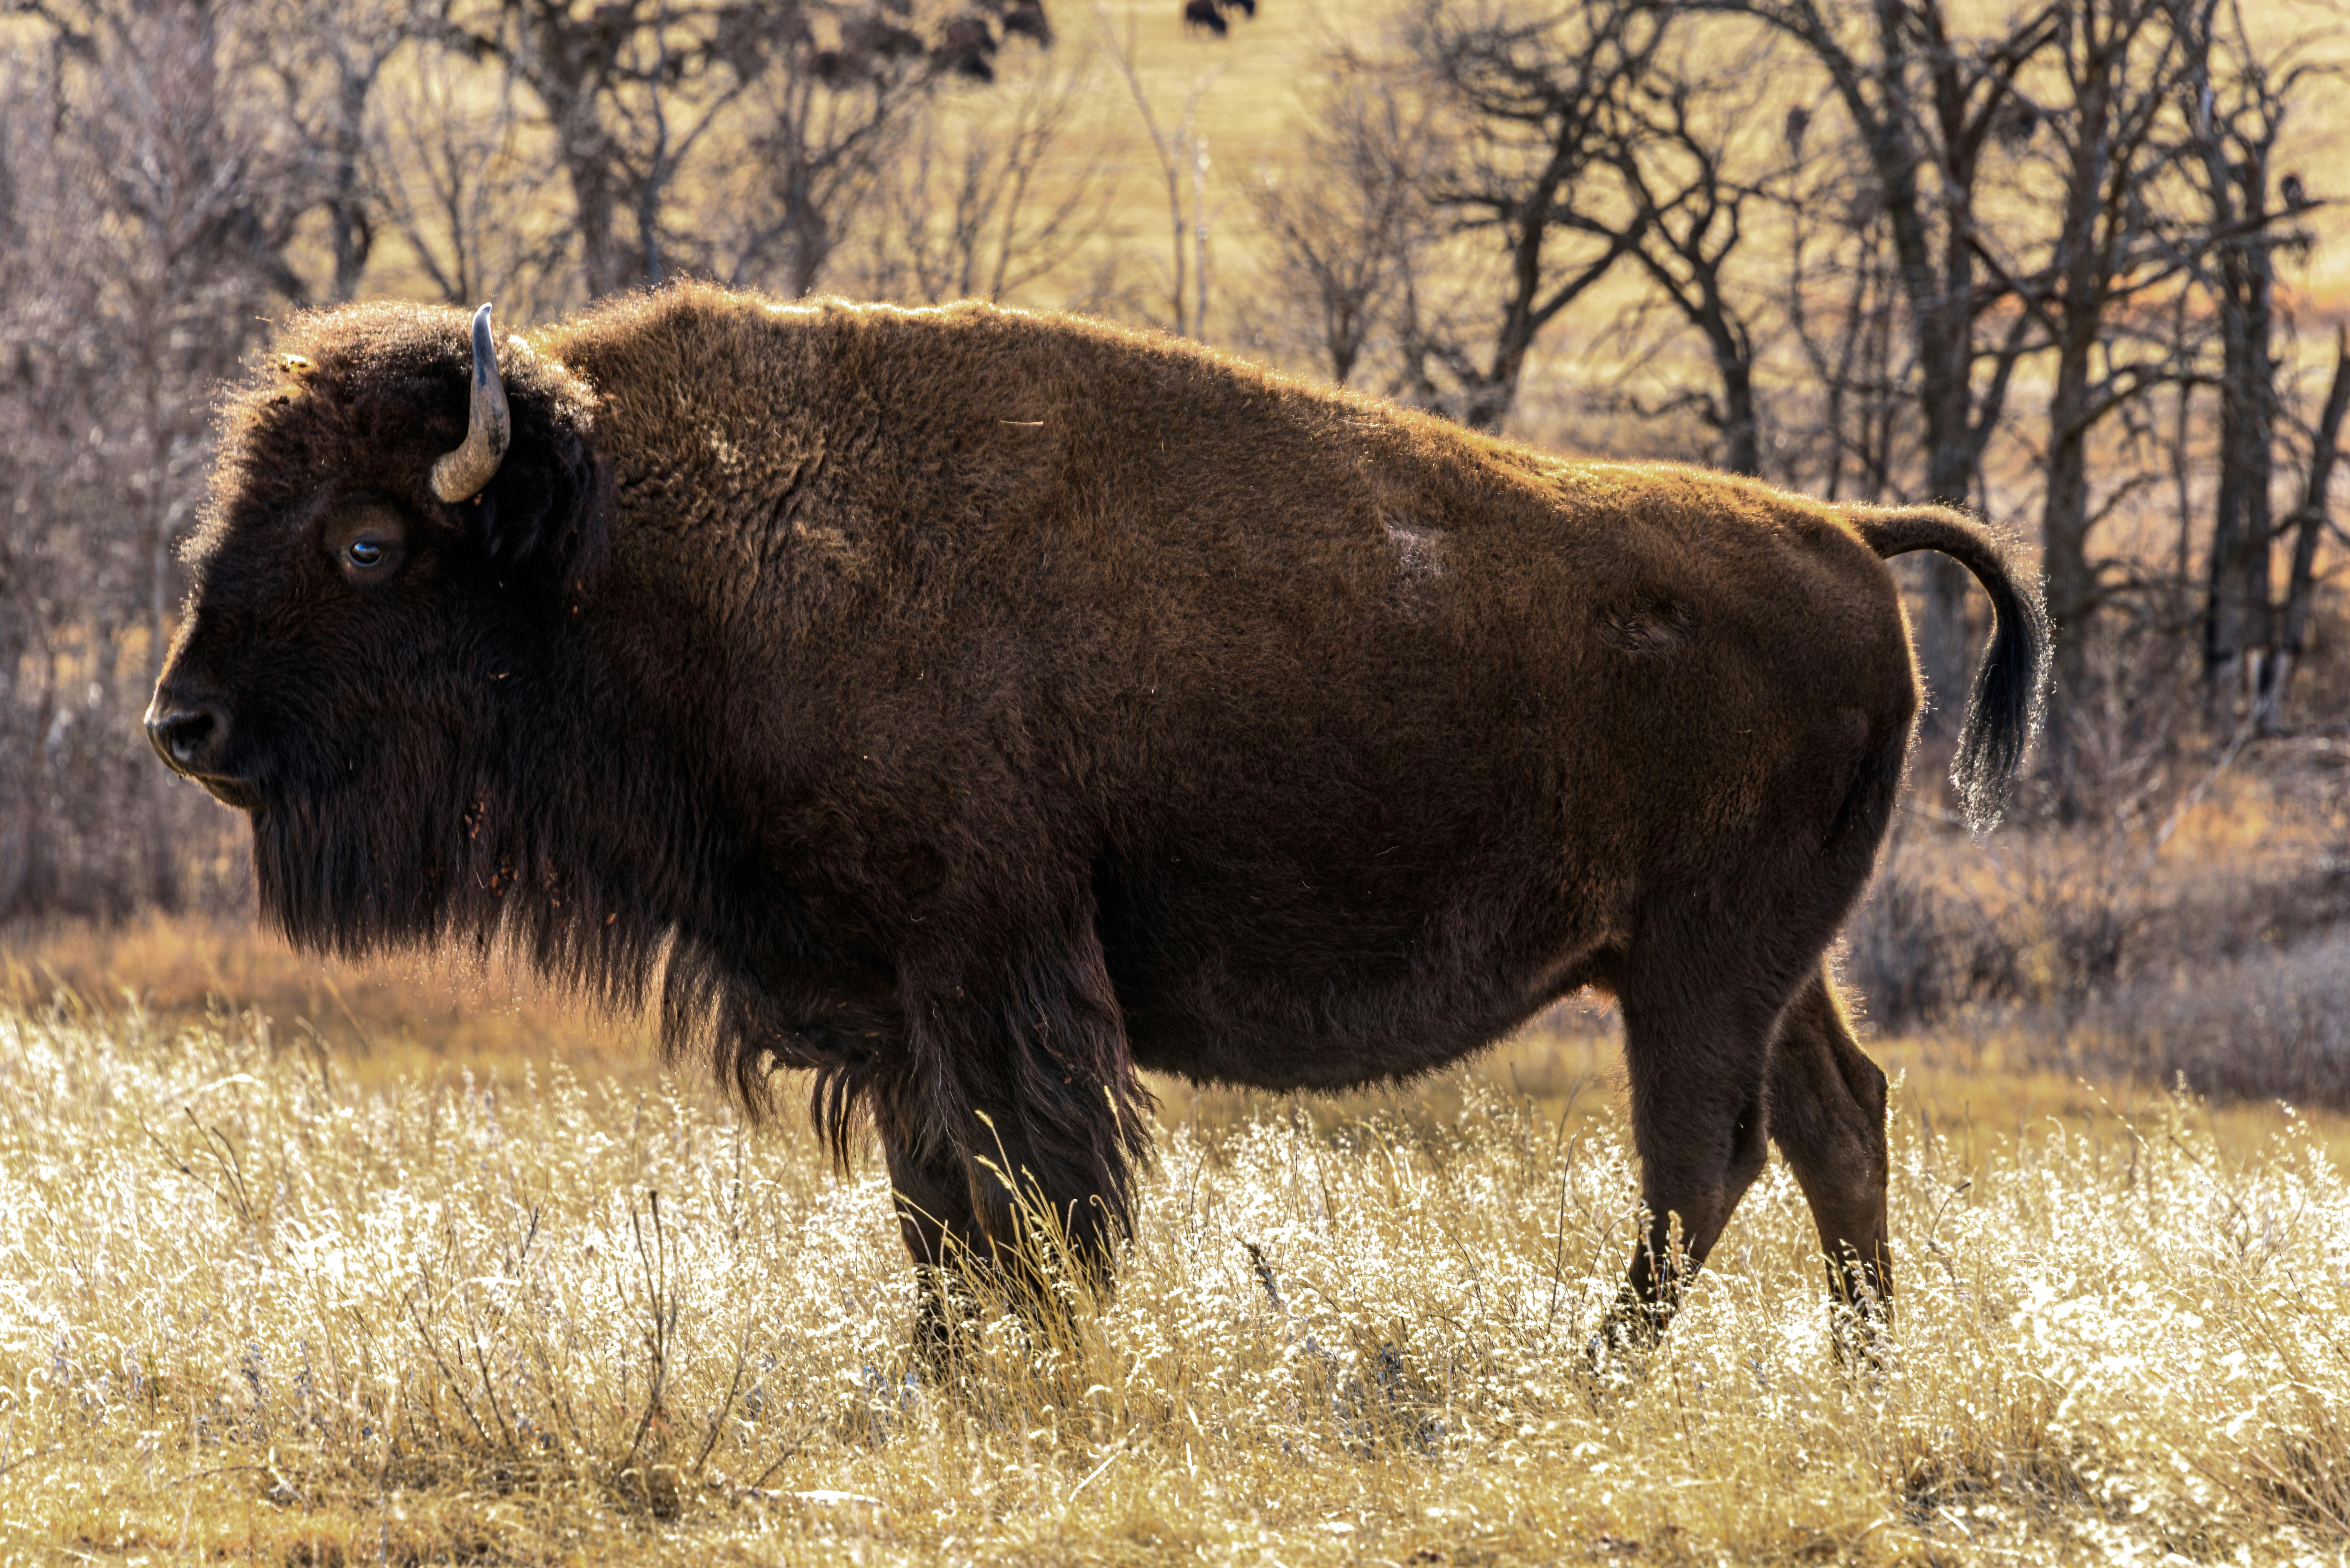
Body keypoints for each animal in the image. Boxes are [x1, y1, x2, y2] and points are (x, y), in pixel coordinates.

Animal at [148, 284, 2046, 1351]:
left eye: (369, 540)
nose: (186, 722)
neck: (632, 537)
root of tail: (1841, 531)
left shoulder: (993, 968)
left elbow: (1030, 1183)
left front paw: (1028, 1349)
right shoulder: (890, 1002)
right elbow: (938, 1195)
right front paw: (944, 1359)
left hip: (1692, 972)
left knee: (1705, 1160)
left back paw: (1594, 1372)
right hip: (1761, 967)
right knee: (1837, 1123)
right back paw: (1857, 1379)